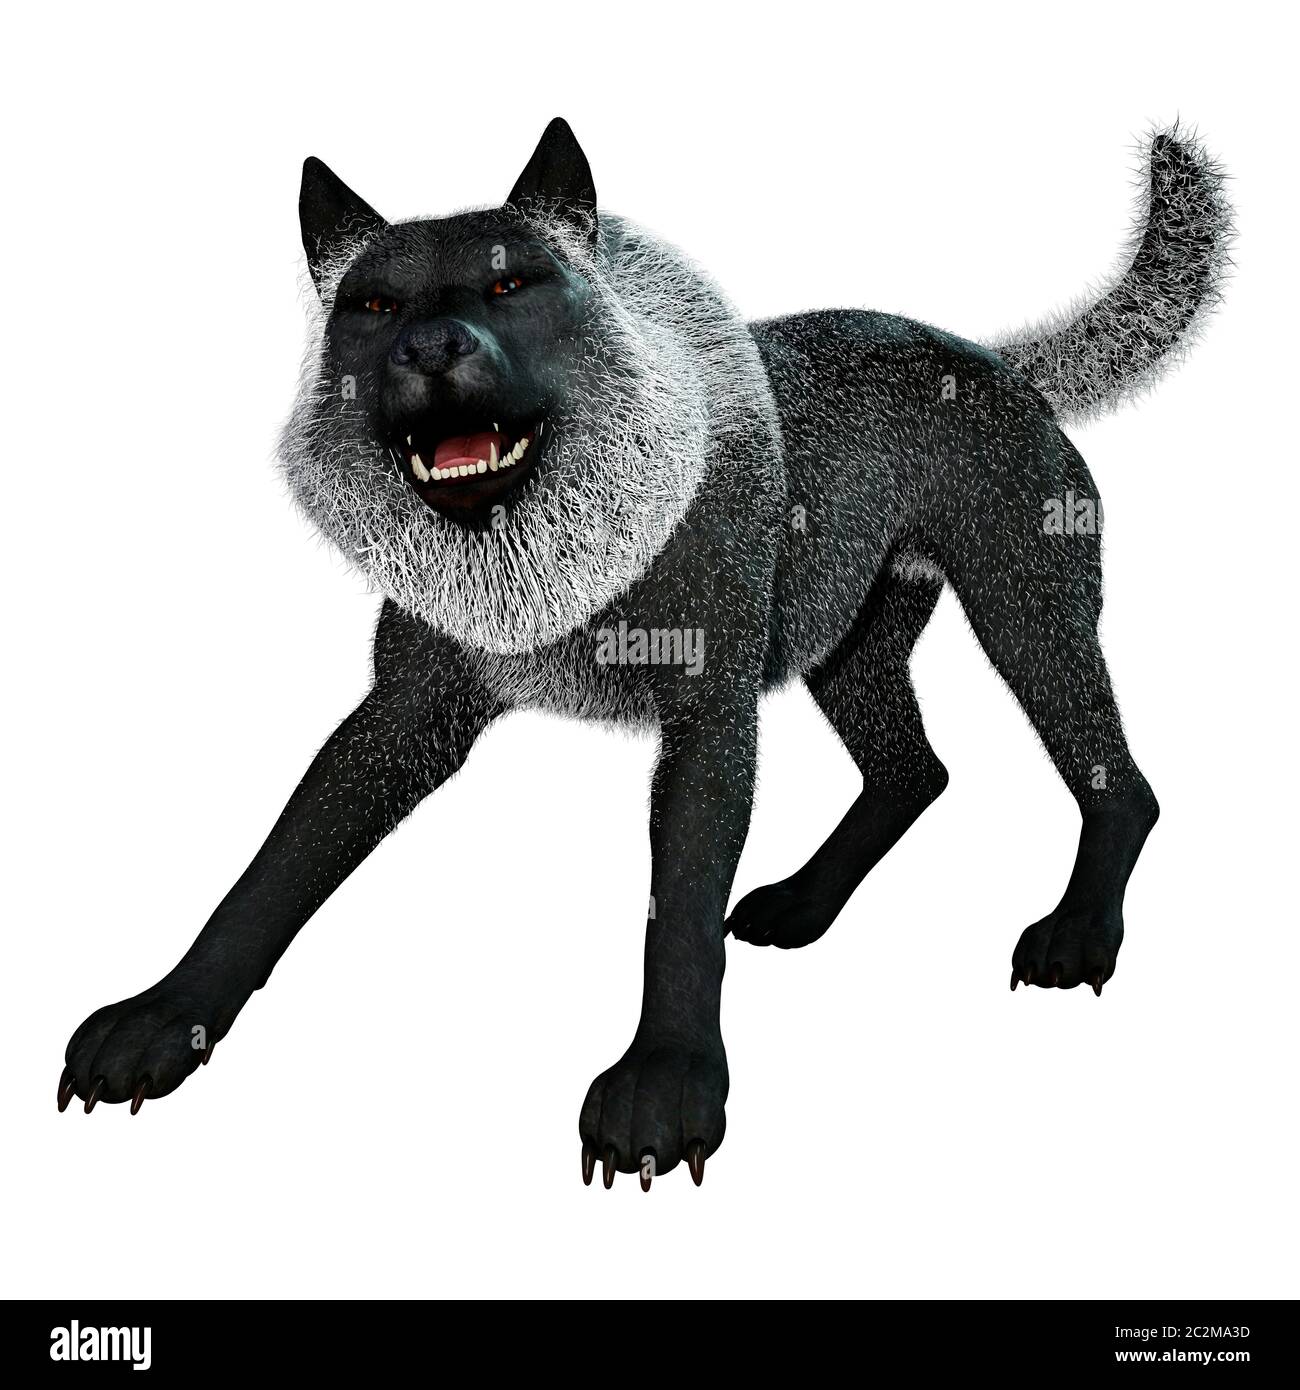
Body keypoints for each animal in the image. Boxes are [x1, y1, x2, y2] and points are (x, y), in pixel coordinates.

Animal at [60, 119, 1233, 1187]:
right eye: (374, 306)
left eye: (512, 284)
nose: (429, 352)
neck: (539, 555)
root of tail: (999, 360)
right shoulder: (403, 713)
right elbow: (274, 865)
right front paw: (159, 1023)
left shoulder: (708, 713)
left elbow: (680, 906)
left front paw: (664, 1091)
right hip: (848, 652)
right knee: (915, 768)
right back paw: (800, 906)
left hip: (1027, 617)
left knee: (1117, 781)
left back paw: (1075, 936)